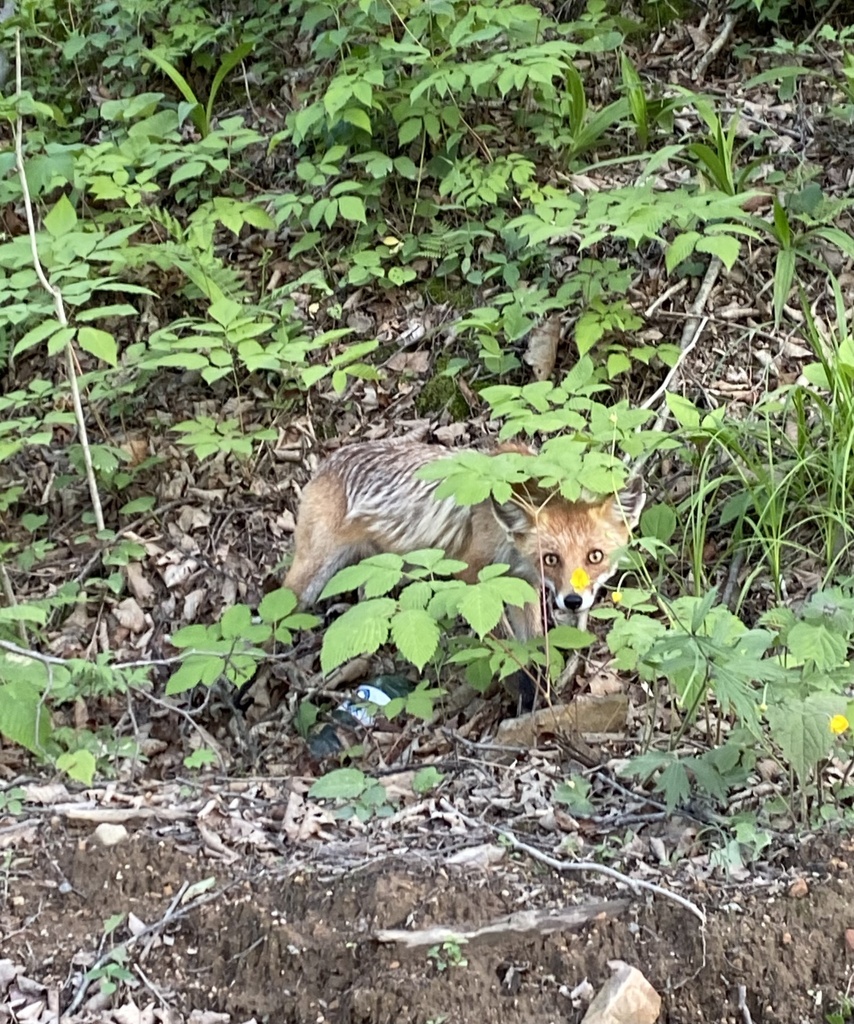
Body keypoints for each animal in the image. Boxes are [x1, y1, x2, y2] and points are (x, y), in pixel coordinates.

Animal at [284, 439, 645, 642]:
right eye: (551, 558)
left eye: (595, 556)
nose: (572, 601)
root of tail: (327, 462)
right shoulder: (472, 576)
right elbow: (501, 638)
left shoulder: (519, 583)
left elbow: (531, 640)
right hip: (309, 577)